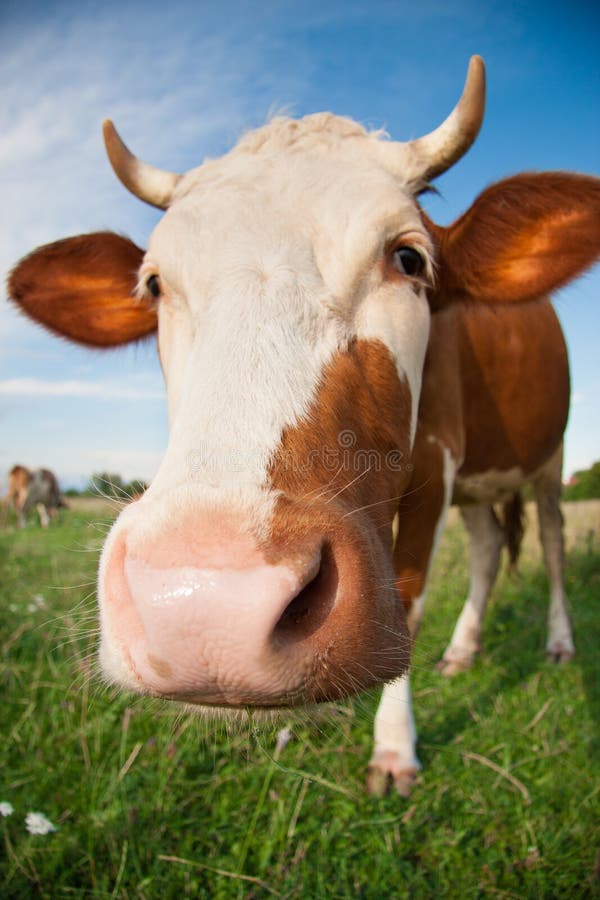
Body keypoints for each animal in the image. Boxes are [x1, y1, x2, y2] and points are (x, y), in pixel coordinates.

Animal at [7, 57, 600, 795]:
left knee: (549, 540)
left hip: (551, 457)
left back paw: (560, 642)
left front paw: (394, 749)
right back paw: (463, 651)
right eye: (154, 284)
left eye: (409, 257)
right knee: (491, 547)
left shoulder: (435, 464)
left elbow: (408, 598)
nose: (208, 606)